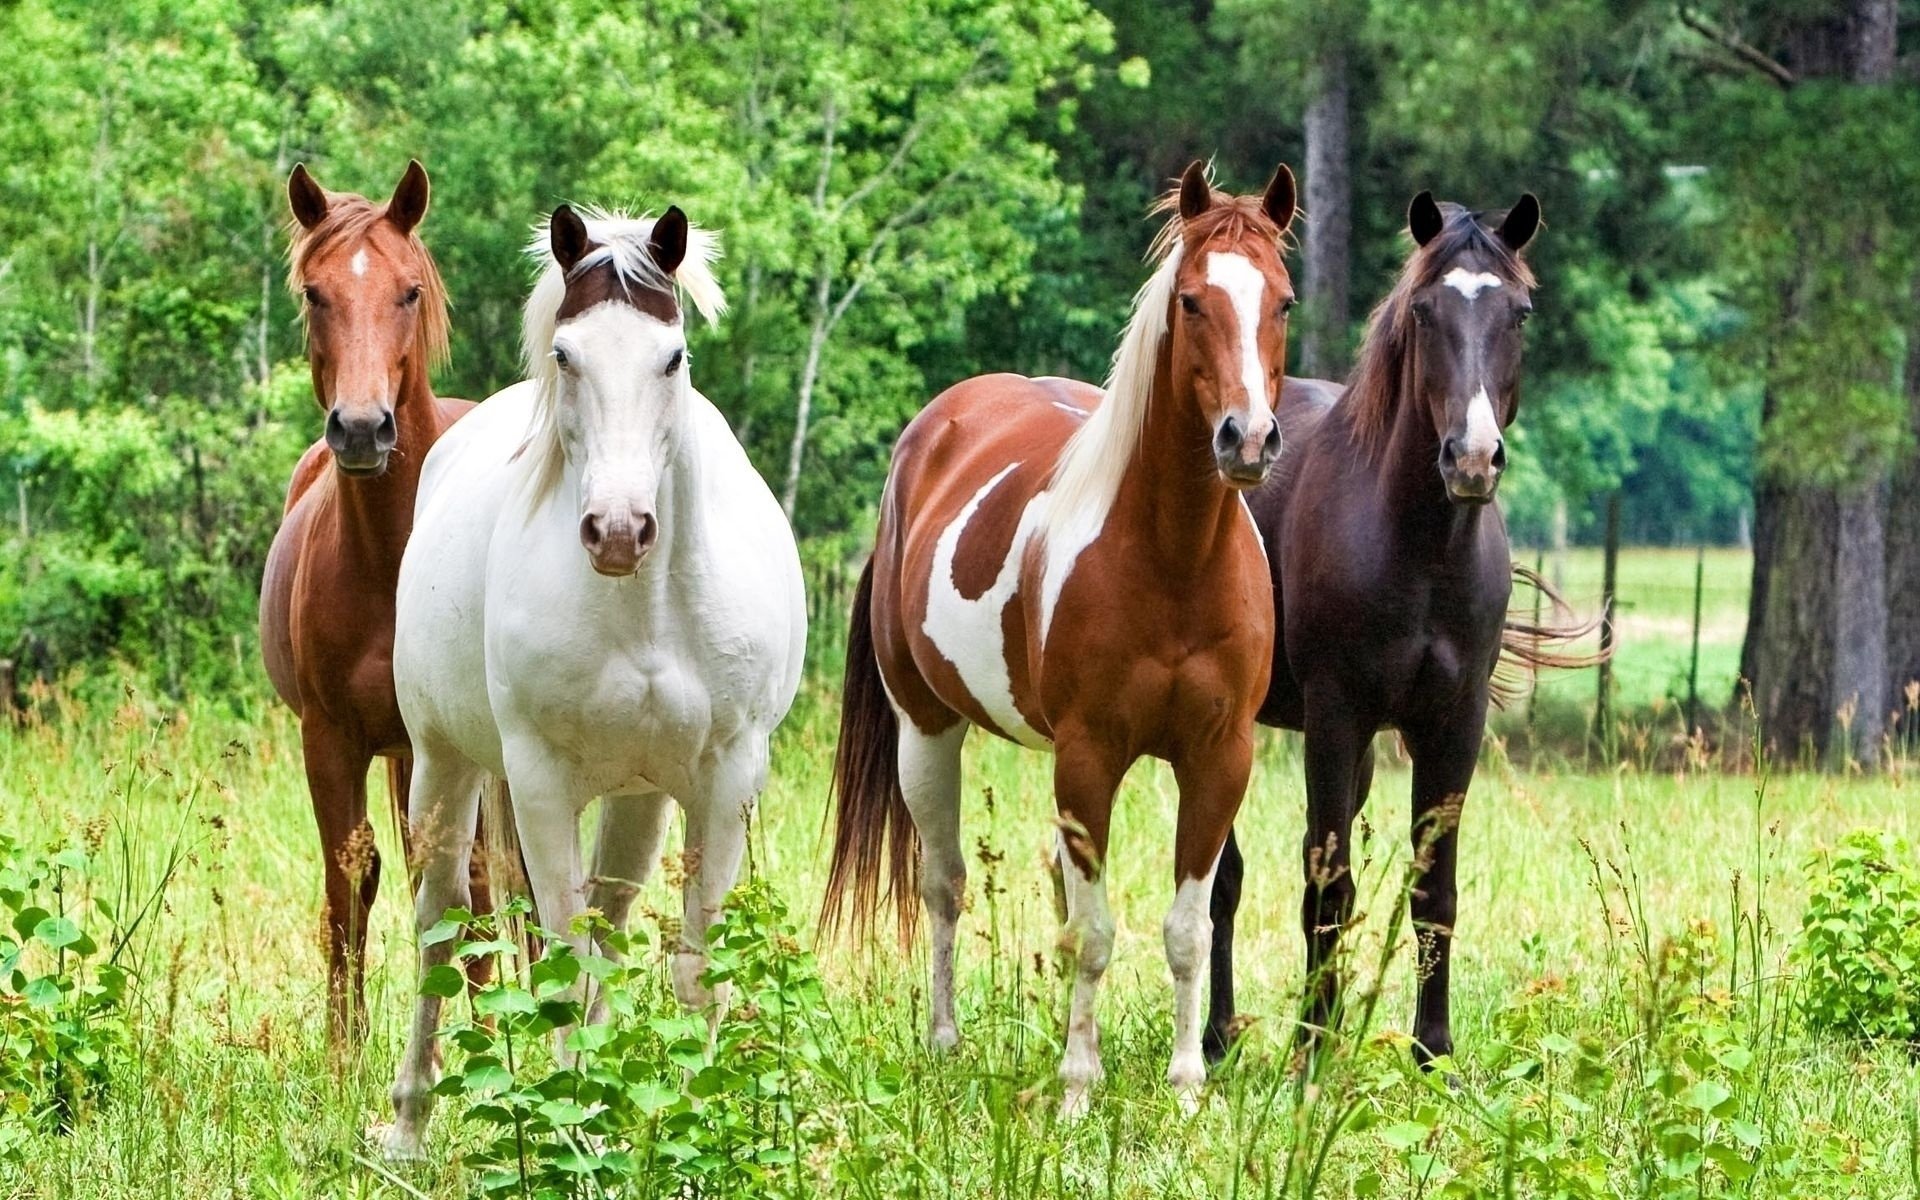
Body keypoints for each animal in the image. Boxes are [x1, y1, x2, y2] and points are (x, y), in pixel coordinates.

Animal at [259, 160, 500, 1044]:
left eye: (408, 291)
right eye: (314, 293)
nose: (362, 429)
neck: (391, 560)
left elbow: (474, 885)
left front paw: (494, 1042)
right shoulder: (330, 739)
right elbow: (349, 881)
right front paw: (344, 1049)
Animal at [379, 203, 807, 1158]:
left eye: (672, 356)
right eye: (566, 354)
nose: (618, 530)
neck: (645, 611)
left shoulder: (727, 778)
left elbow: (691, 968)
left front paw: (688, 1130)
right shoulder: (539, 781)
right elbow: (561, 964)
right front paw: (575, 1132)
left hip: (639, 799)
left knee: (606, 929)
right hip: (443, 763)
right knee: (438, 923)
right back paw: (409, 1124)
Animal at [824, 162, 1297, 1117]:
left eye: (1284, 301)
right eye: (1192, 301)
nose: (1249, 439)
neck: (1174, 560)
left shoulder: (1219, 758)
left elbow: (1185, 929)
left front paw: (1188, 1087)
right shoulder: (1088, 757)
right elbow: (1096, 931)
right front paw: (1080, 1089)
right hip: (925, 731)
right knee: (945, 884)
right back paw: (945, 1041)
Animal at [1202, 191, 1588, 1069]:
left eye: (1518, 313)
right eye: (1423, 311)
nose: (1472, 459)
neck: (1420, 548)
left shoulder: (1453, 723)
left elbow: (1432, 888)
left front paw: (1432, 1052)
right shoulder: (1334, 716)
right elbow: (1327, 883)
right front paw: (1312, 1053)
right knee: (1222, 876)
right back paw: (1218, 1036)